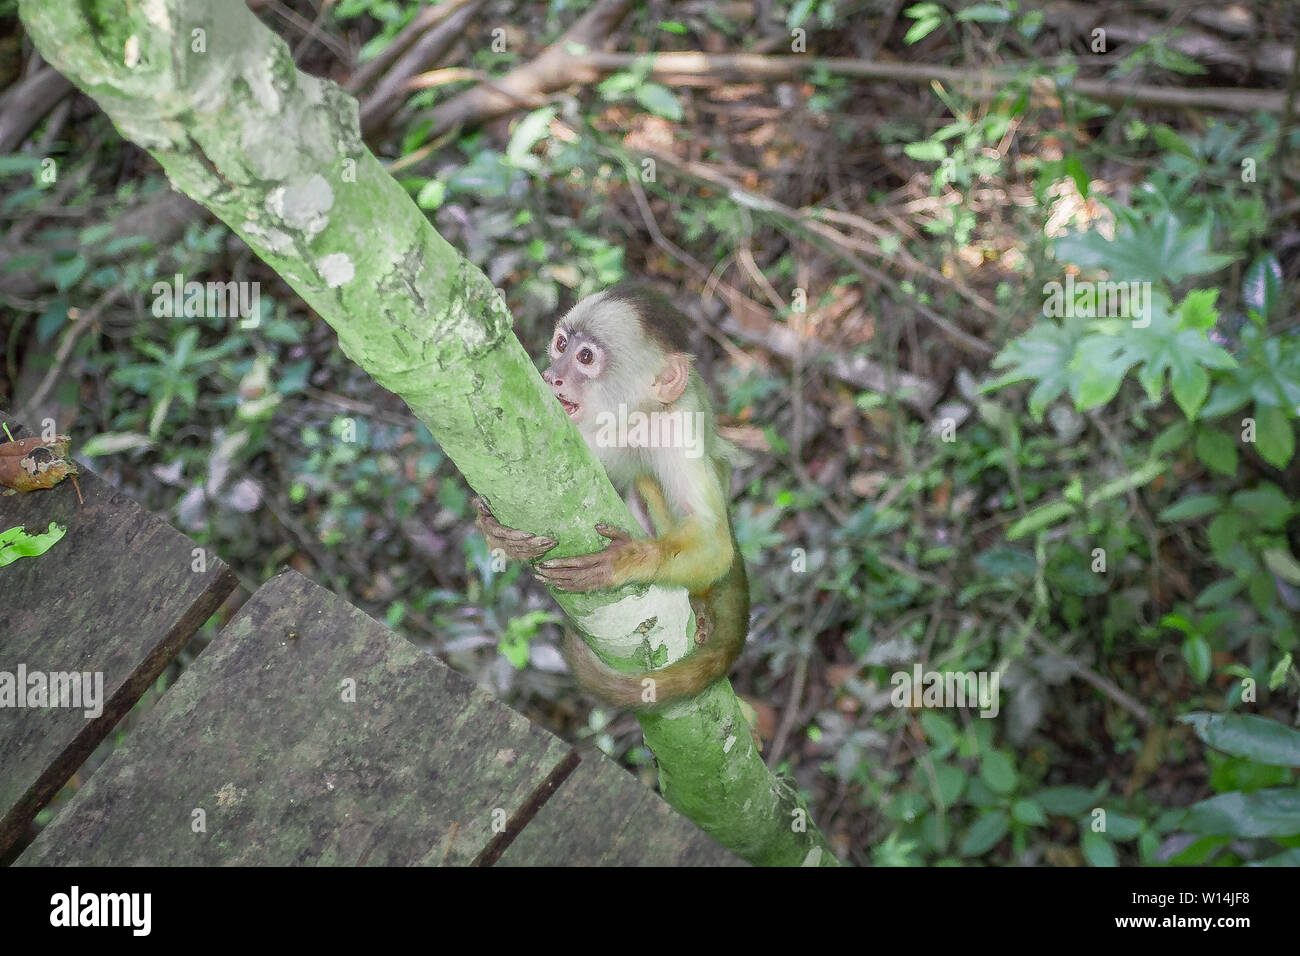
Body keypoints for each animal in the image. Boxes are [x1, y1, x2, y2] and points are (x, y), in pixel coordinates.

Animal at [474, 283, 749, 710]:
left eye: (585, 357)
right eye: (561, 344)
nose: (552, 376)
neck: (623, 421)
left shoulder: (673, 425)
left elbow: (714, 544)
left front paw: (625, 559)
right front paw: (494, 530)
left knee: (649, 482)